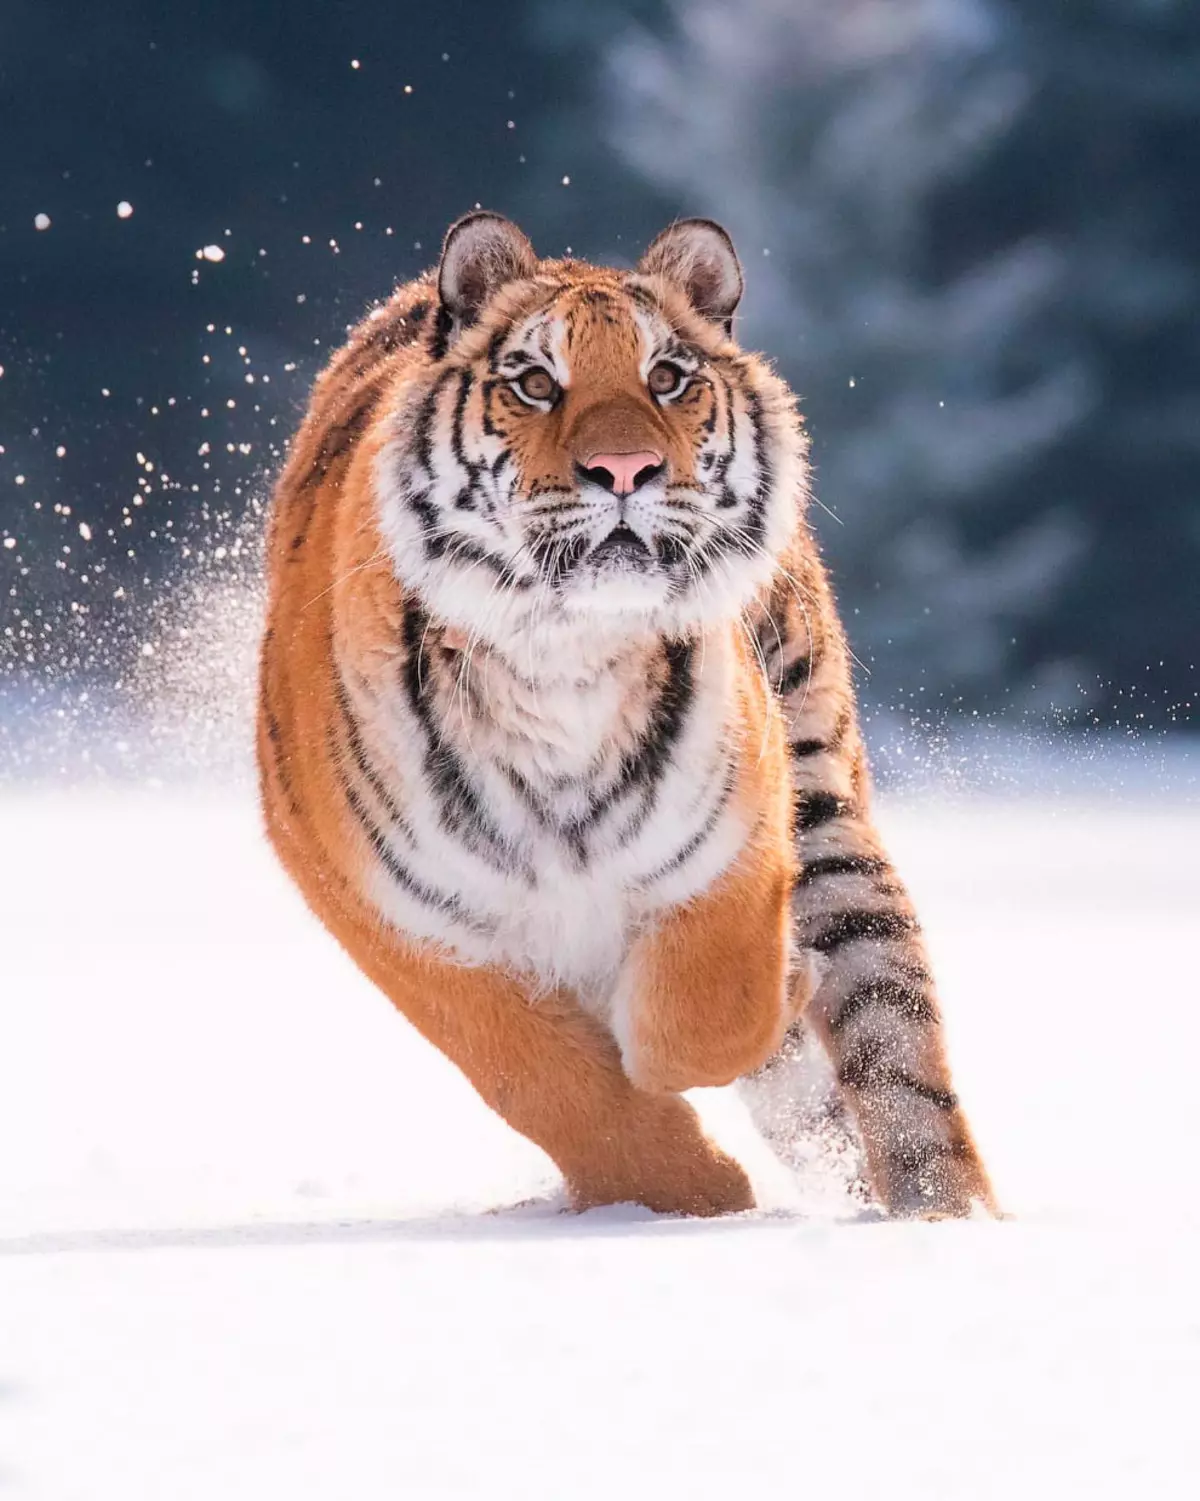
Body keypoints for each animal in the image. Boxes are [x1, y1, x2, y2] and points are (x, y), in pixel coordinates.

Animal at [255, 211, 997, 1218]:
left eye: (668, 377)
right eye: (535, 382)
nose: (624, 469)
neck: (564, 655)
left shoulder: (736, 835)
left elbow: (707, 1015)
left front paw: (775, 991)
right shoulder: (392, 908)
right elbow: (541, 1077)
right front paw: (693, 1190)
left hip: (828, 802)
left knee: (898, 1050)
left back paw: (950, 1219)